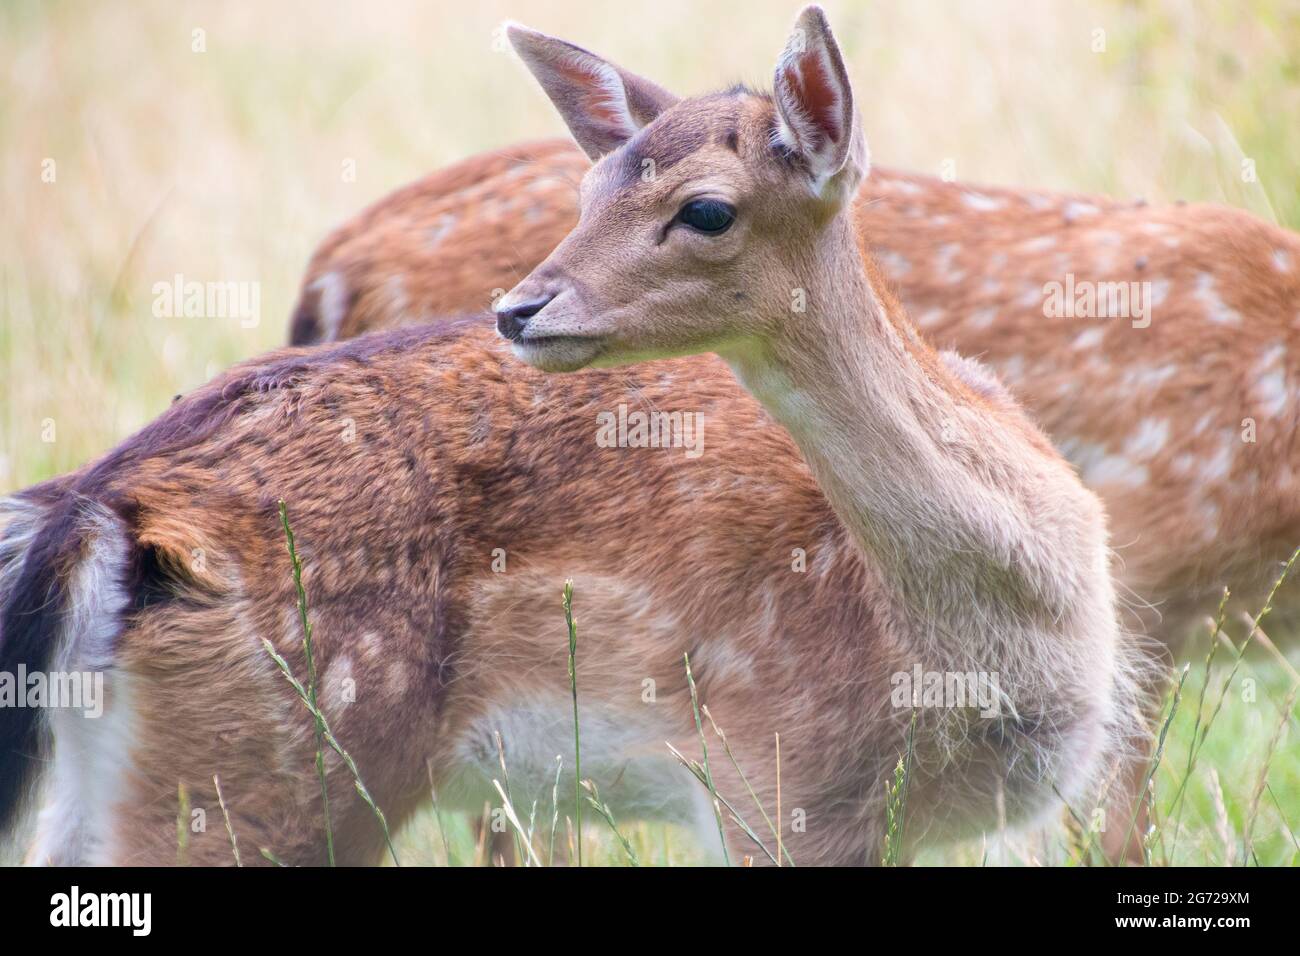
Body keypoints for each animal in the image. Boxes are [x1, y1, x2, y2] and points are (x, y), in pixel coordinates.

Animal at [1, 6, 1142, 866]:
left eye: (707, 210)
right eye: (590, 186)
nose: (519, 308)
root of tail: (94, 511)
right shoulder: (775, 780)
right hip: (272, 770)